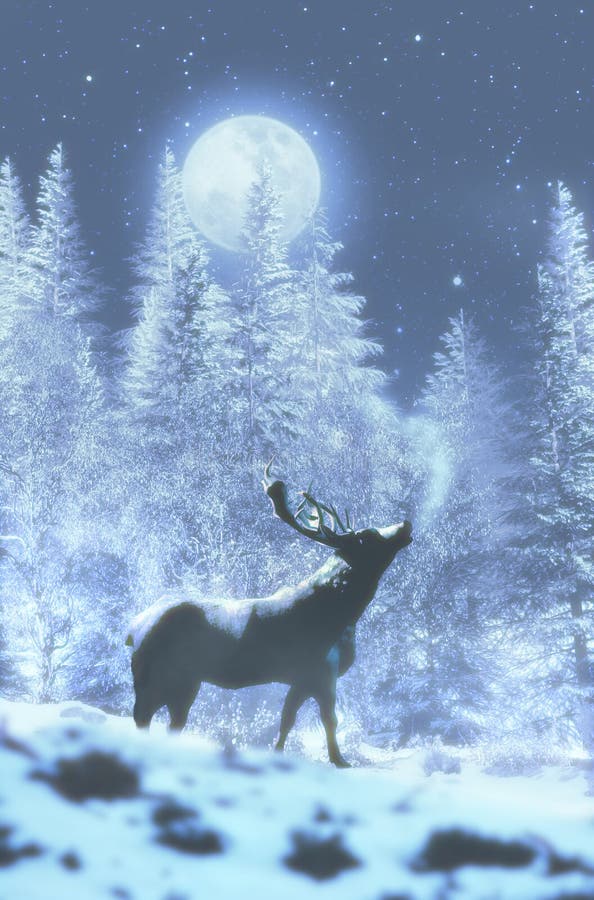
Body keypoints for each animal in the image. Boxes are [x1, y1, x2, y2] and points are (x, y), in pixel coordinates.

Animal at [126, 466, 412, 767]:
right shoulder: (321, 673)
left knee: (172, 723)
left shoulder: (302, 679)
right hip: (156, 676)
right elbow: (328, 720)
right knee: (142, 716)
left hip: (186, 683)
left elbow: (287, 720)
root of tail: (132, 630)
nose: (406, 524)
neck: (345, 616)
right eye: (365, 537)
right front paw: (339, 760)